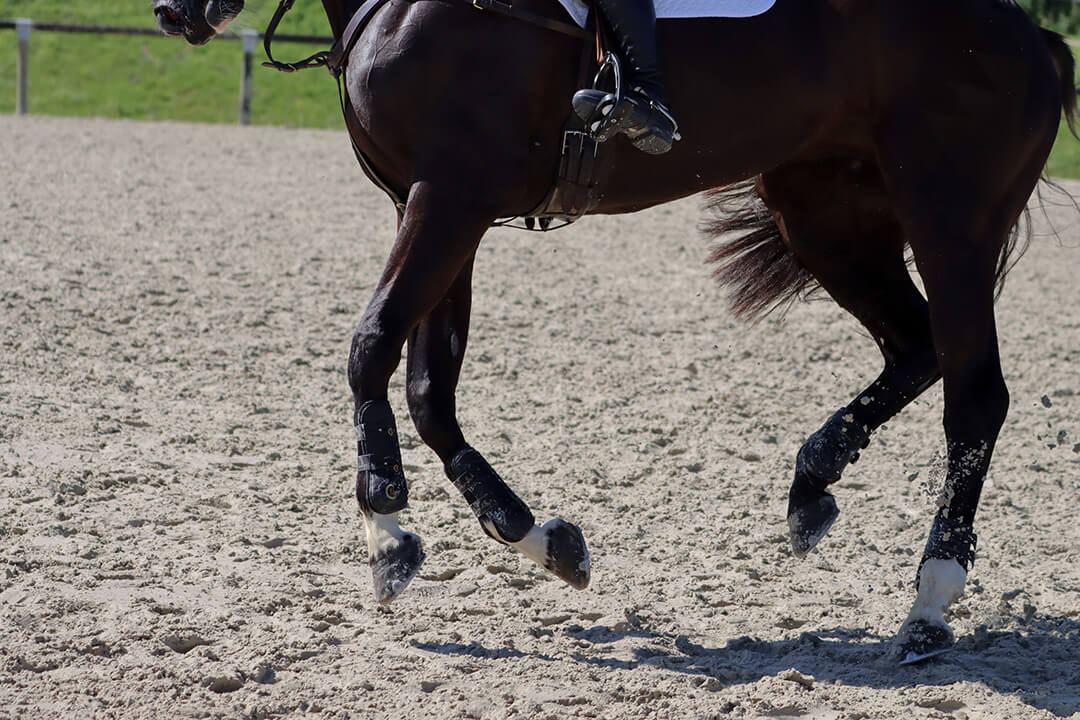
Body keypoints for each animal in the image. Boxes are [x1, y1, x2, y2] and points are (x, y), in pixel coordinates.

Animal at [152, 0, 1077, 663]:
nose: (169, 12)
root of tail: (1030, 33)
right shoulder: (441, 208)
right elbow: (427, 390)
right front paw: (537, 537)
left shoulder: (448, 197)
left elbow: (371, 347)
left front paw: (387, 531)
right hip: (827, 213)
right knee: (916, 349)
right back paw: (812, 483)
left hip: (949, 222)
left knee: (975, 396)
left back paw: (929, 603)